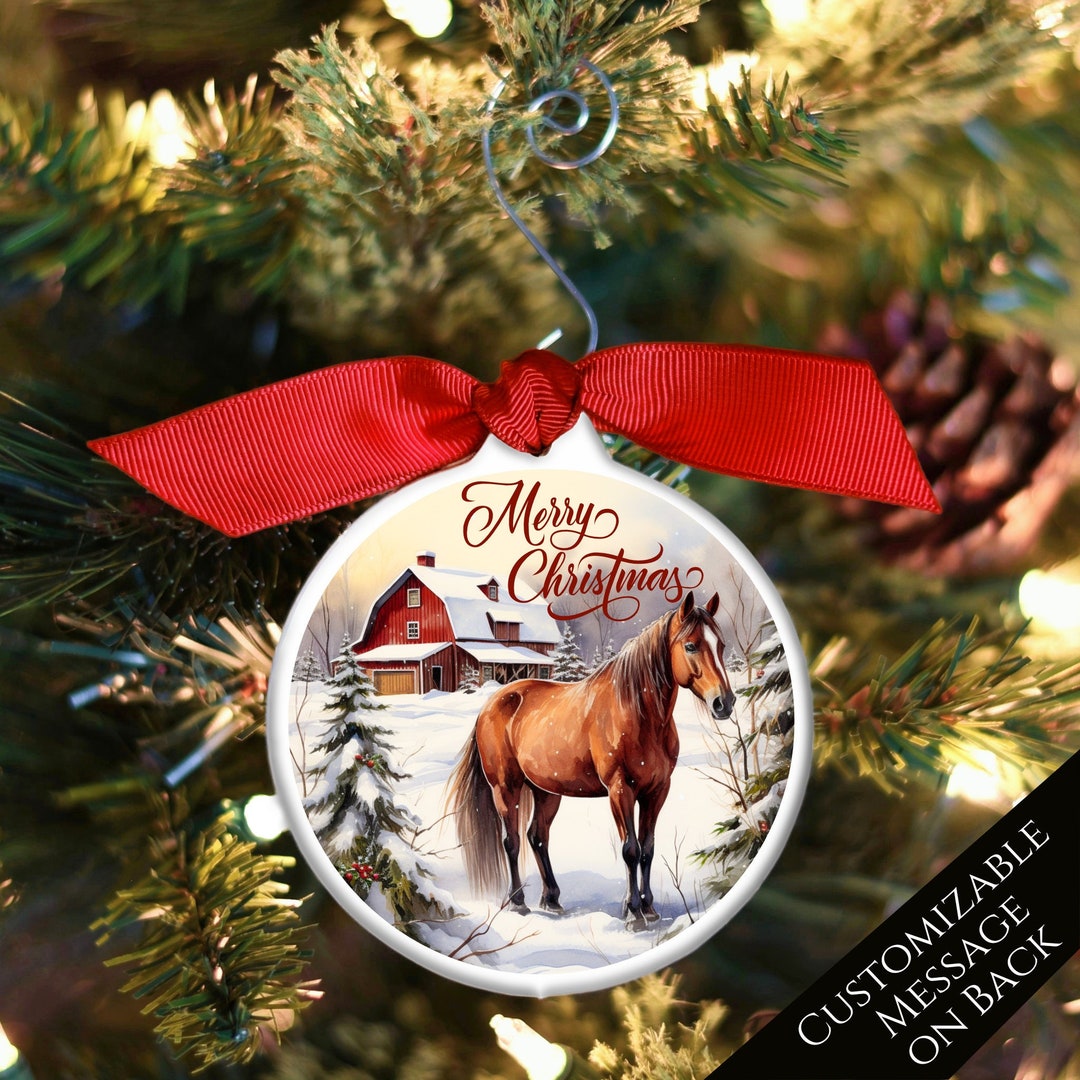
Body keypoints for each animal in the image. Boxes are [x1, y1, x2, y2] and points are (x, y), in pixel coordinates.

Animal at [446, 590, 736, 931]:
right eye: (691, 645)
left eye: (721, 645)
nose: (724, 702)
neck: (637, 713)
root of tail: (493, 703)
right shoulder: (620, 790)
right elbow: (631, 849)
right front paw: (633, 913)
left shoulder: (657, 791)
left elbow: (648, 849)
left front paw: (649, 908)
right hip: (506, 787)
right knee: (512, 840)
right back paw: (518, 902)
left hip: (546, 791)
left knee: (537, 838)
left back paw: (552, 900)